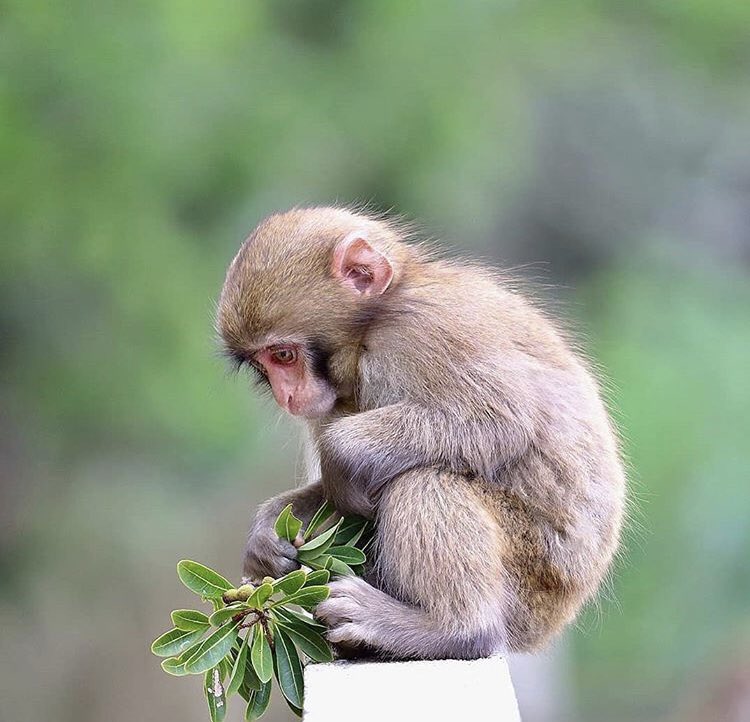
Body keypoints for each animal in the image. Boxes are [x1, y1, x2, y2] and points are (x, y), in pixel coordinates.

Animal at [217, 206, 626, 660]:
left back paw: (451, 629)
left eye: (283, 355)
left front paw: (341, 453)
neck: (375, 323)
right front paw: (266, 534)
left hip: (533, 577)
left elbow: (503, 418)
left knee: (425, 479)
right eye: (262, 364)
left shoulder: (421, 331)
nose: (286, 395)